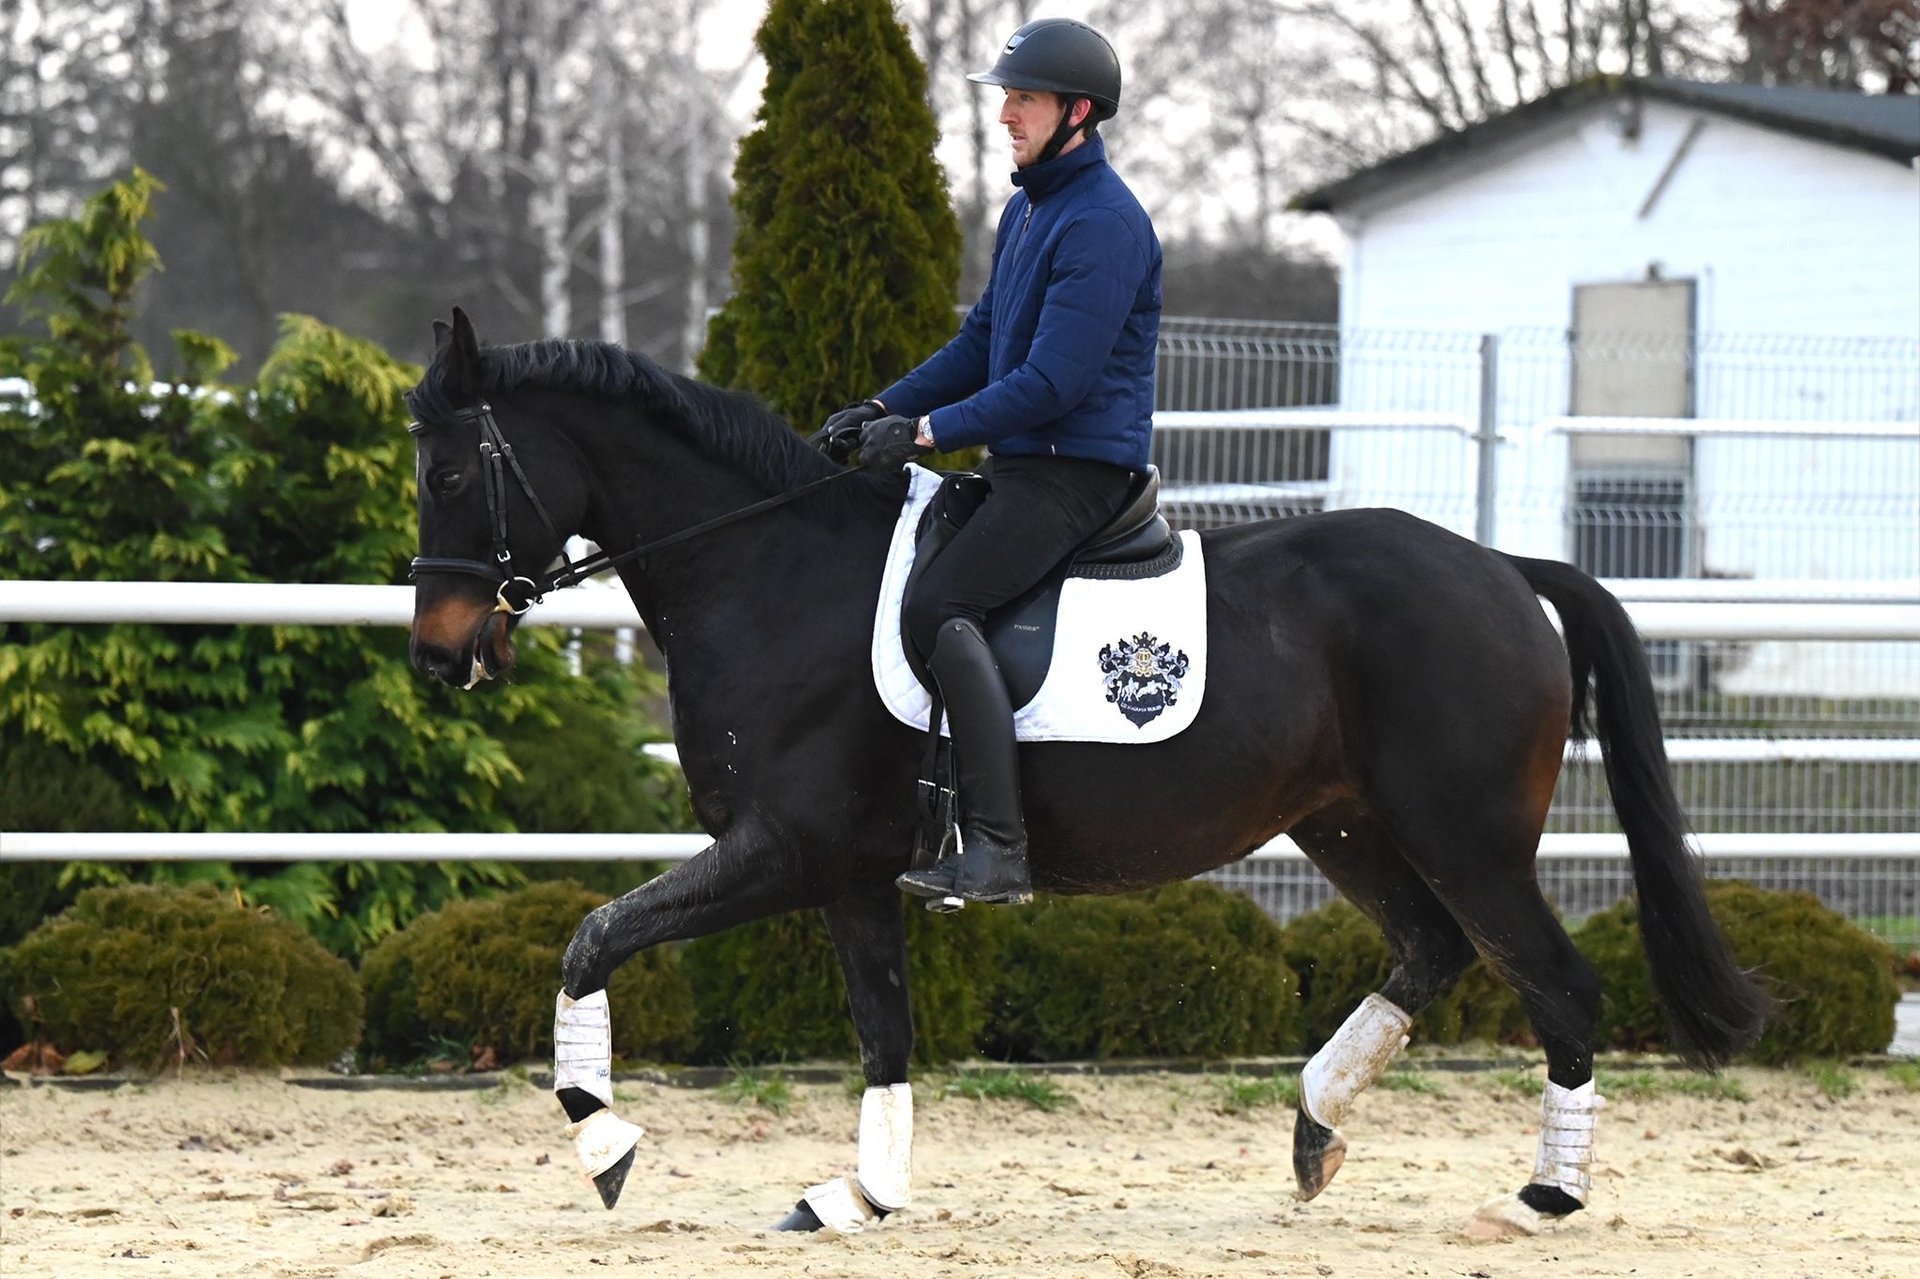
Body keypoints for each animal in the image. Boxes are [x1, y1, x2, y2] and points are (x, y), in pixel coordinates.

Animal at [404, 308, 1771, 1237]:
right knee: (1430, 952)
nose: (438, 655)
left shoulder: (784, 852)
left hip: (1465, 837)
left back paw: (1542, 1196)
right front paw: (863, 1193)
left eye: (455, 472)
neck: (769, 569)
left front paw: (609, 1145)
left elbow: (592, 935)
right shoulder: (847, 876)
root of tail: (1500, 566)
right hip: (1349, 827)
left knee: (1558, 985)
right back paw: (1316, 1129)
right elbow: (883, 1032)